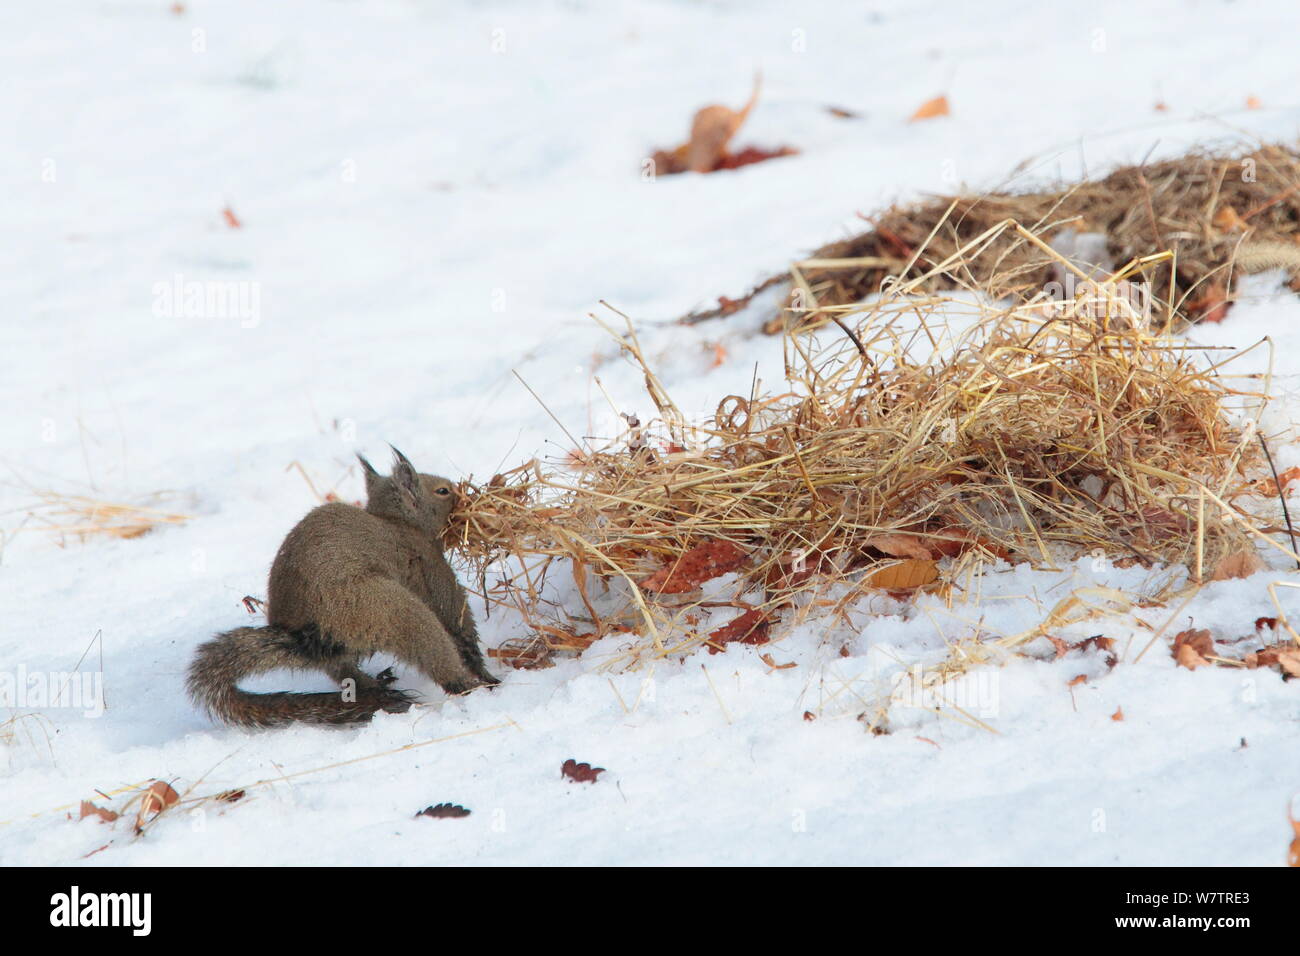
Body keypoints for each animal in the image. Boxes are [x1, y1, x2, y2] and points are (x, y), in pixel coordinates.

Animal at [187, 447, 499, 728]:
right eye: (442, 491)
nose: (464, 494)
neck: (398, 523)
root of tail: (306, 637)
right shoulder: (431, 568)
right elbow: (457, 619)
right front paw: (482, 669)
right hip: (387, 609)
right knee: (437, 657)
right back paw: (476, 685)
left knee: (341, 671)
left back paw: (375, 685)